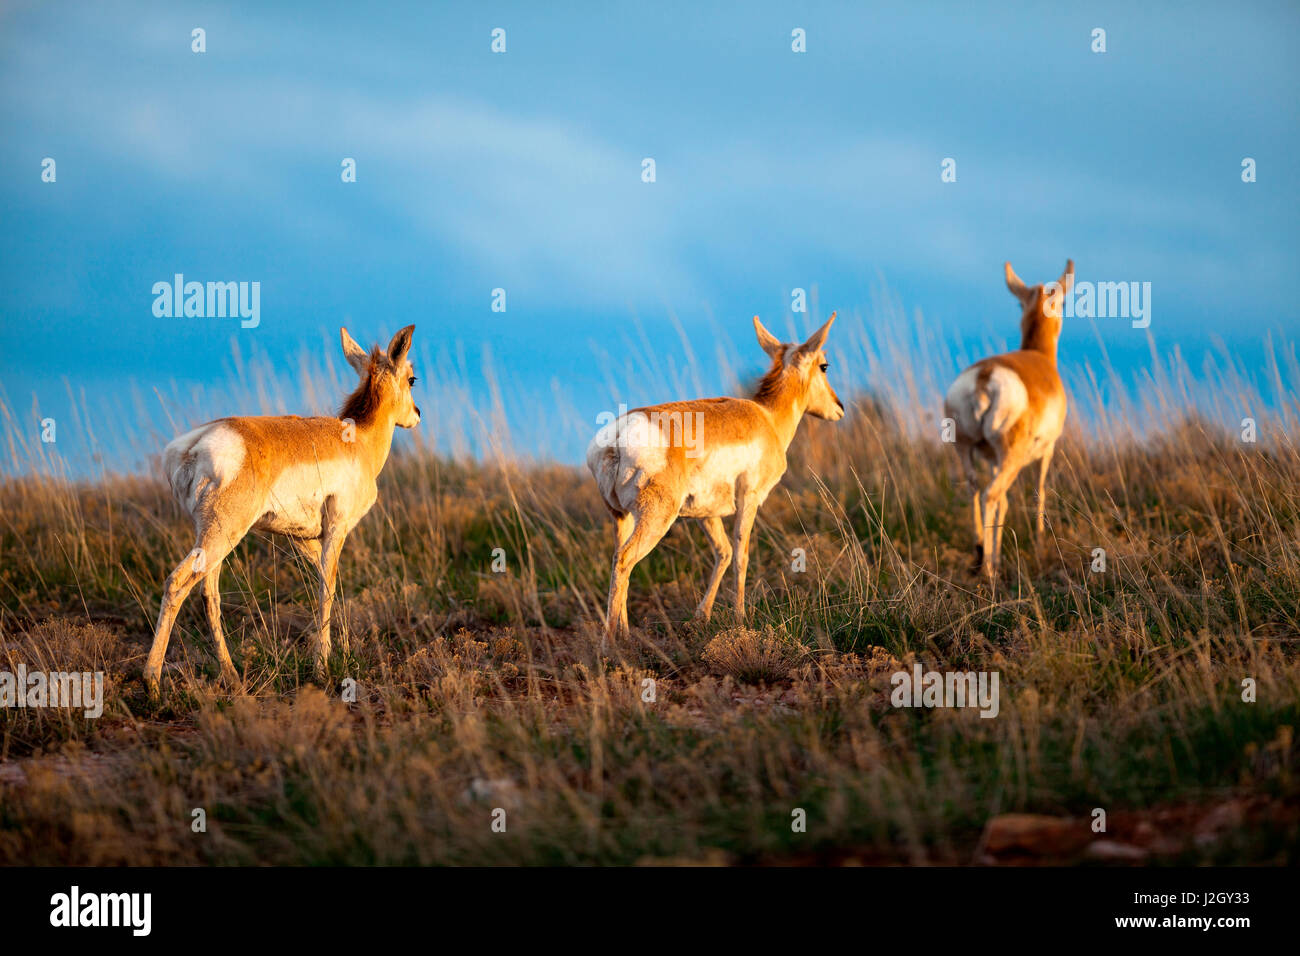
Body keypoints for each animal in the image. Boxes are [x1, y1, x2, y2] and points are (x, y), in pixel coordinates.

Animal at [143, 326, 421, 694]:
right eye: (412, 378)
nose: (417, 414)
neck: (357, 437)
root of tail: (192, 445)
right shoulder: (336, 530)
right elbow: (326, 589)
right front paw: (321, 668)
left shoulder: (304, 539)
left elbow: (325, 583)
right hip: (221, 535)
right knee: (177, 583)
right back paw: (152, 683)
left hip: (212, 539)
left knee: (208, 593)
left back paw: (231, 676)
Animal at [587, 314, 845, 639]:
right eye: (824, 365)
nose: (839, 407)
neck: (767, 418)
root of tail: (617, 436)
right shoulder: (749, 500)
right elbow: (741, 553)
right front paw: (740, 619)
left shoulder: (706, 514)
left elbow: (723, 552)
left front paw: (702, 616)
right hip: (656, 518)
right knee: (625, 560)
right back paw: (613, 645)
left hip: (622, 518)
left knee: (617, 559)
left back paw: (625, 634)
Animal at [944, 260, 1073, 580]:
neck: (1039, 355)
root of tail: (985, 375)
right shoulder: (1047, 451)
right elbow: (1039, 492)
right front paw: (1039, 546)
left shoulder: (991, 459)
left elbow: (1004, 504)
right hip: (1011, 457)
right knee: (991, 495)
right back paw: (989, 569)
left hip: (966, 451)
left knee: (976, 490)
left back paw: (980, 555)